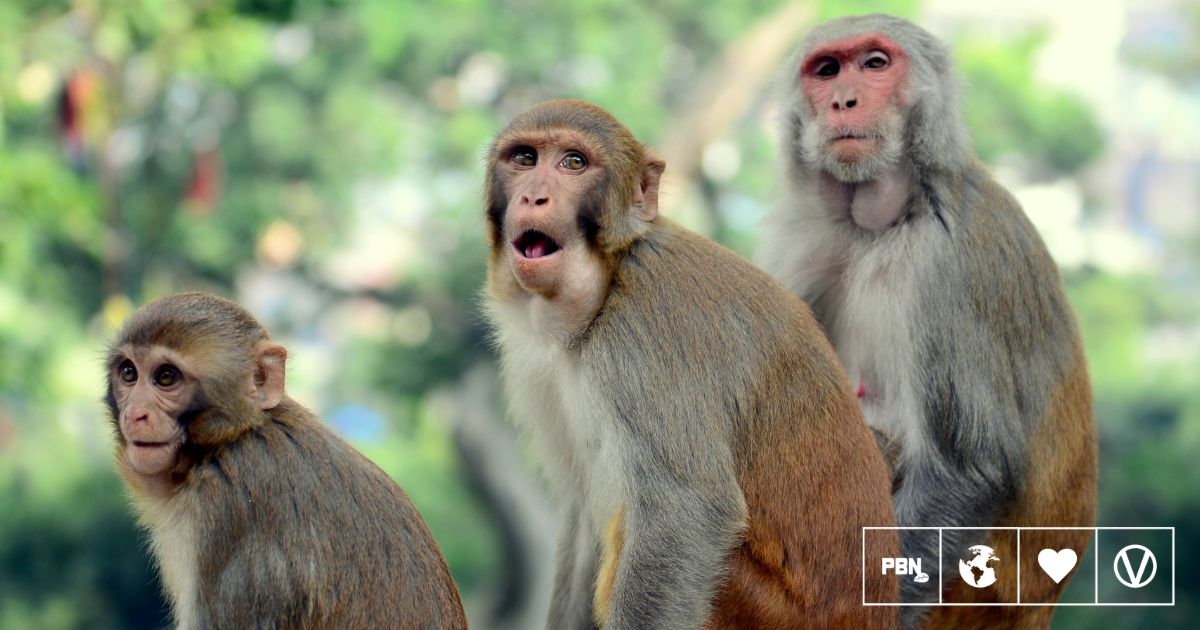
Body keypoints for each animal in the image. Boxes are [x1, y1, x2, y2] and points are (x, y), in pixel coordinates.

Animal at [483, 99, 899, 629]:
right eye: (524, 158)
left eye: (573, 163)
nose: (534, 196)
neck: (608, 279)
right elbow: (583, 514)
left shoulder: (646, 332)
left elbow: (684, 514)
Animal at [760, 14, 1097, 628]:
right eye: (827, 70)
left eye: (875, 64)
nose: (843, 101)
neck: (886, 222)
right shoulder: (806, 242)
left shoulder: (942, 265)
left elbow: (967, 470)